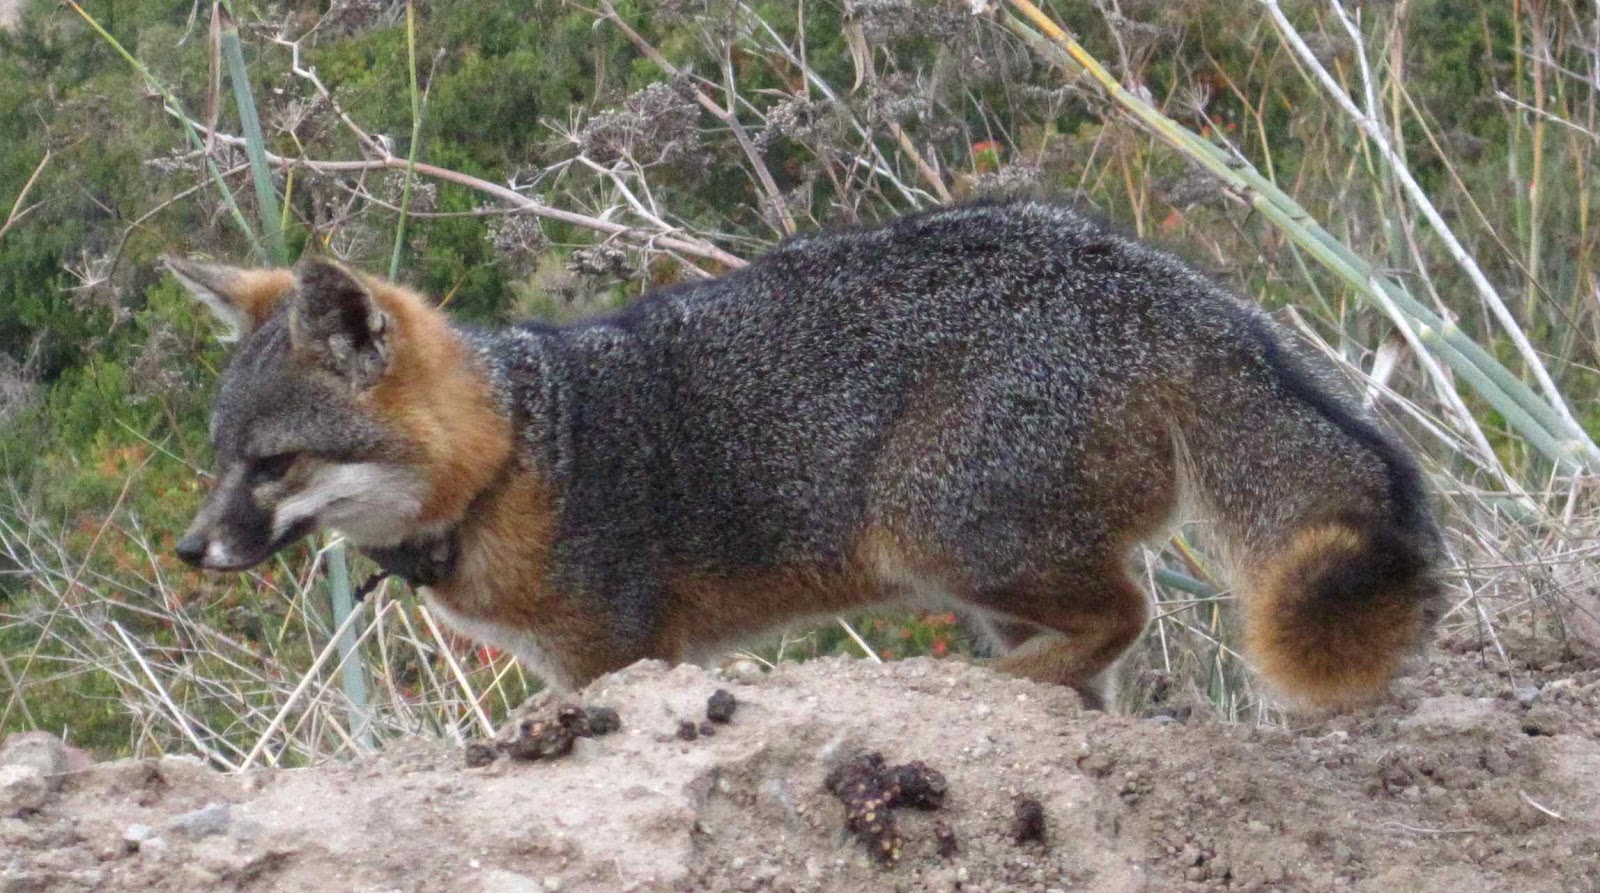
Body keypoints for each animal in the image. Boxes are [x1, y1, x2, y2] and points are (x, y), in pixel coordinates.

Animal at [168, 200, 1444, 711]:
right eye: (223, 458)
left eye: (273, 465)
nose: (189, 549)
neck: (521, 449)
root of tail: (1153, 279)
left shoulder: (616, 655)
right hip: (984, 573)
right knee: (1097, 658)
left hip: (931, 527)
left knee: (1122, 613)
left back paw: (987, 689)